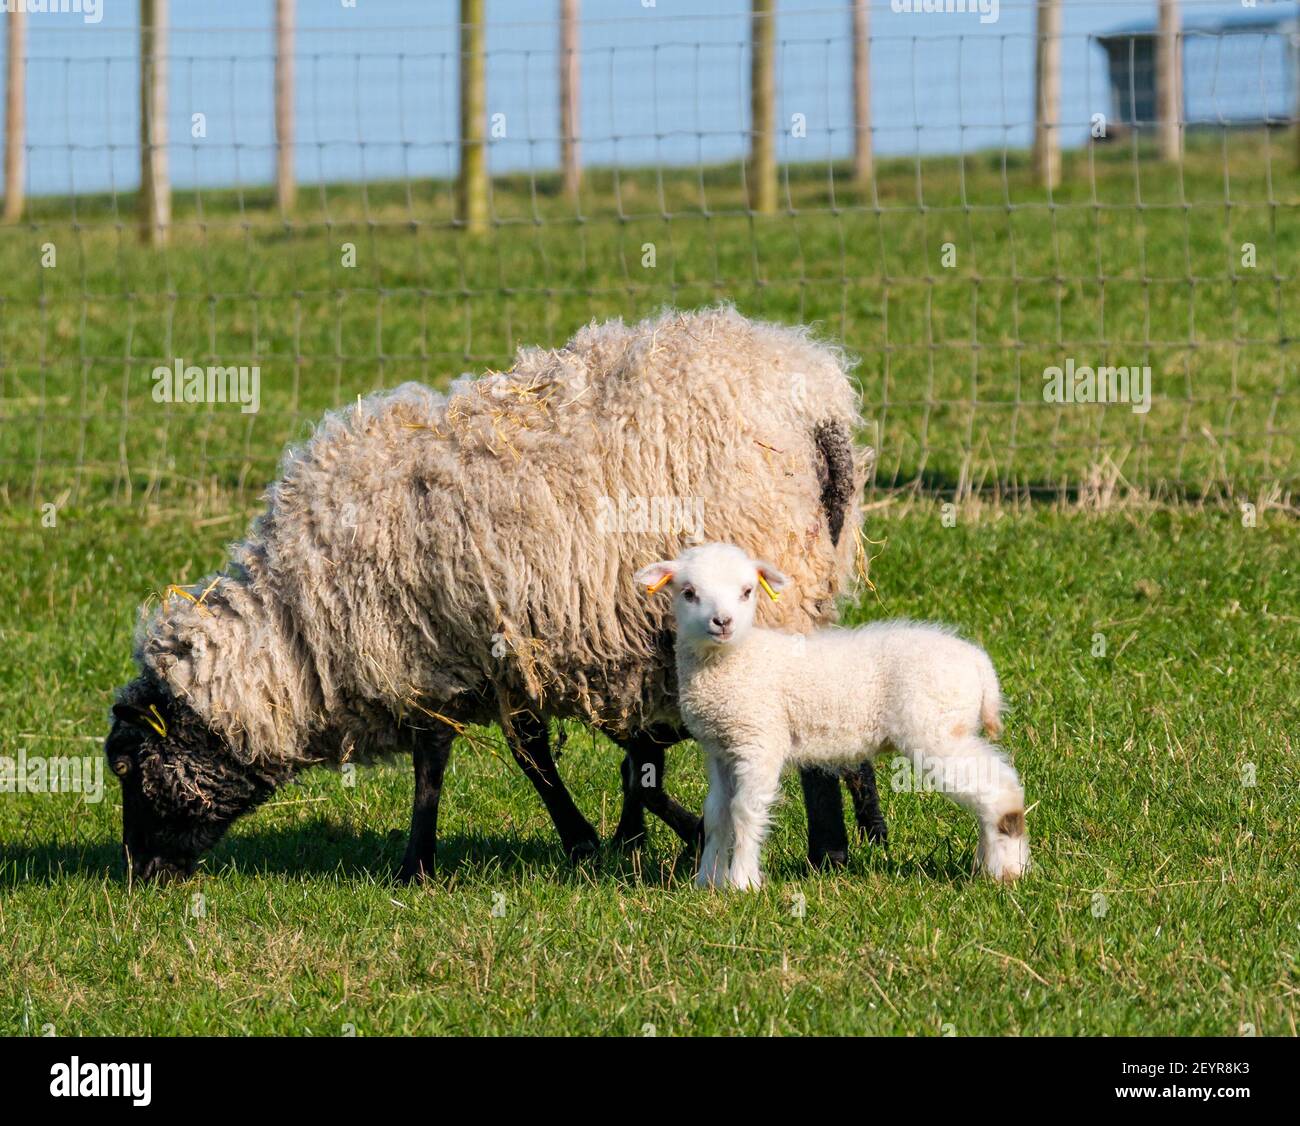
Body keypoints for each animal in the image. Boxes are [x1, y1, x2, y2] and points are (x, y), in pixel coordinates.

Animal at [105, 307, 882, 883]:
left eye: (124, 767)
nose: (141, 876)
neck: (297, 634)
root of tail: (816, 401)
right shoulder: (473, 652)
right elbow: (489, 758)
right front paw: (567, 842)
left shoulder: (457, 650)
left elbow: (485, 760)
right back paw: (860, 835)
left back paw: (830, 849)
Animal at [634, 542, 1030, 890]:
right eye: (688, 593)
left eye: (747, 591)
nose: (722, 622)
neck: (736, 657)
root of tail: (979, 664)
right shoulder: (721, 748)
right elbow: (717, 814)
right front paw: (707, 882)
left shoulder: (760, 740)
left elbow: (744, 812)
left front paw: (742, 883)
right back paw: (988, 865)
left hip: (936, 728)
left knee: (1000, 788)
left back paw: (1006, 870)